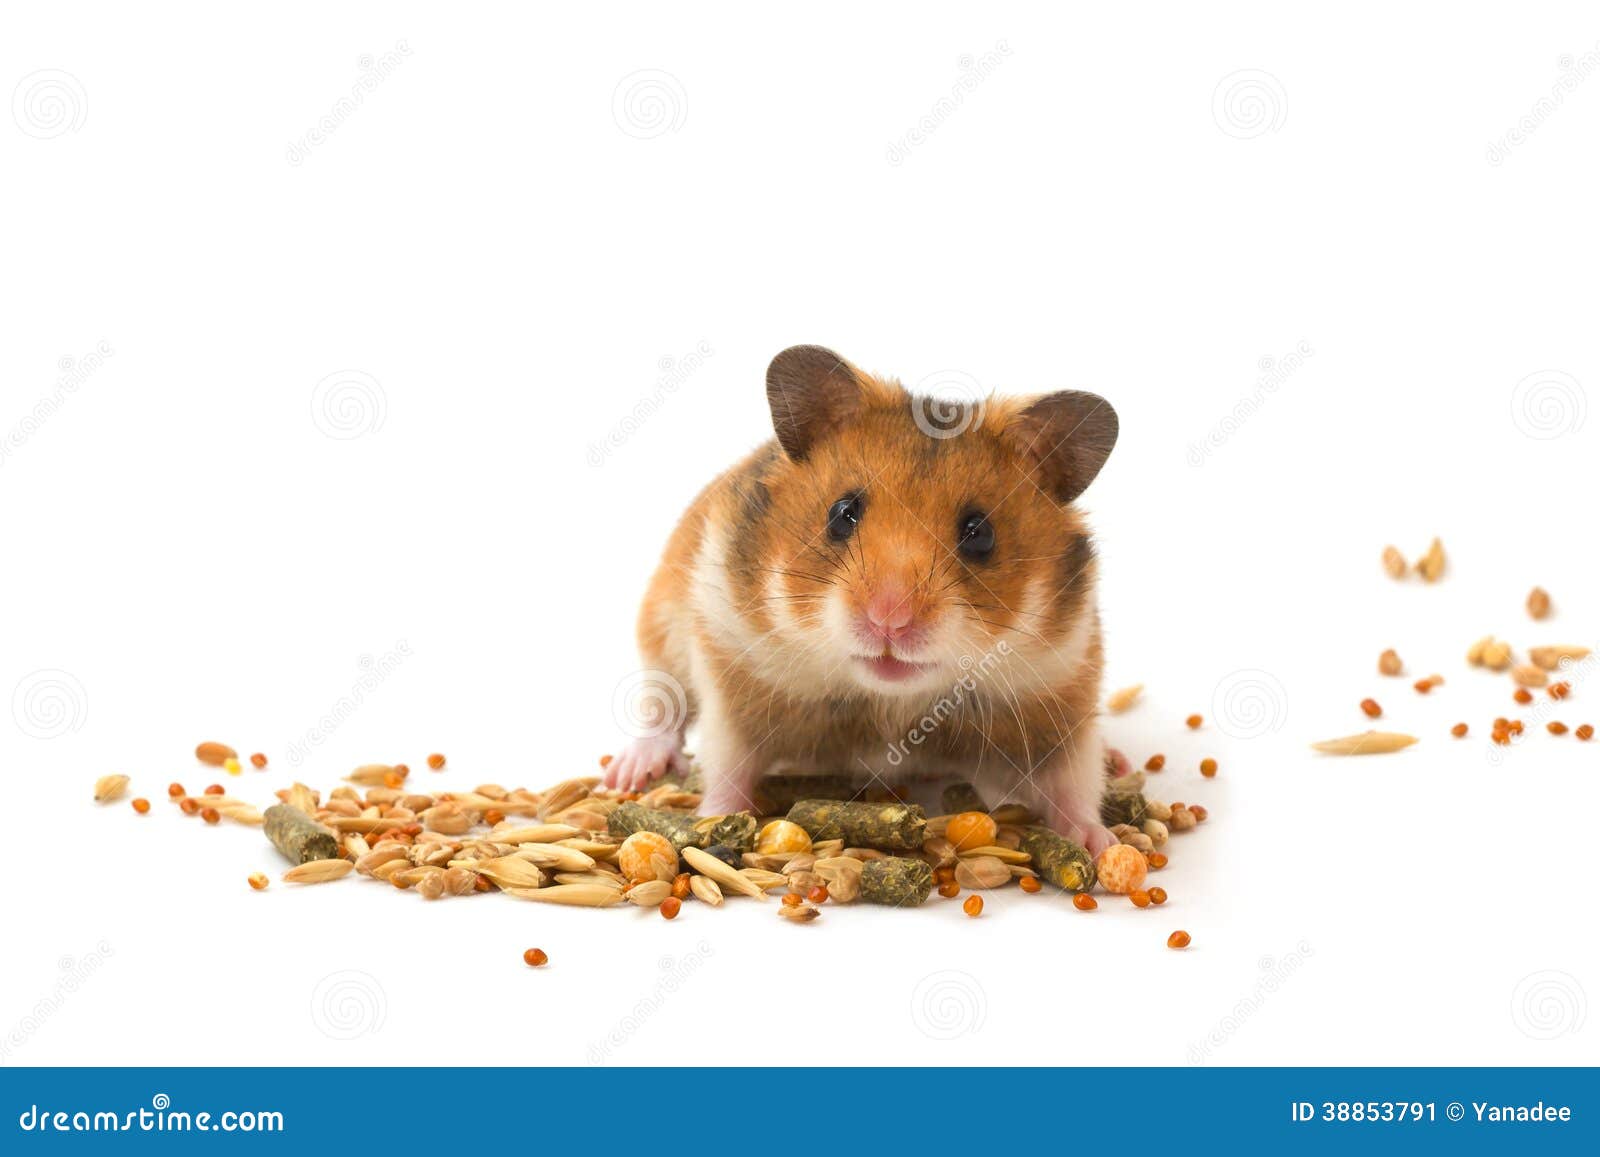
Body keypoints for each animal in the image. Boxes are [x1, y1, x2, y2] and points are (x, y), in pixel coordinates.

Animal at [602, 345, 1123, 856]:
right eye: (842, 513)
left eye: (980, 534)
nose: (889, 620)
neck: (890, 701)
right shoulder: (730, 669)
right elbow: (729, 764)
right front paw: (711, 821)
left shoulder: (1064, 686)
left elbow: (1072, 783)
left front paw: (1099, 845)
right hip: (661, 626)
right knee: (661, 707)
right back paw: (629, 772)